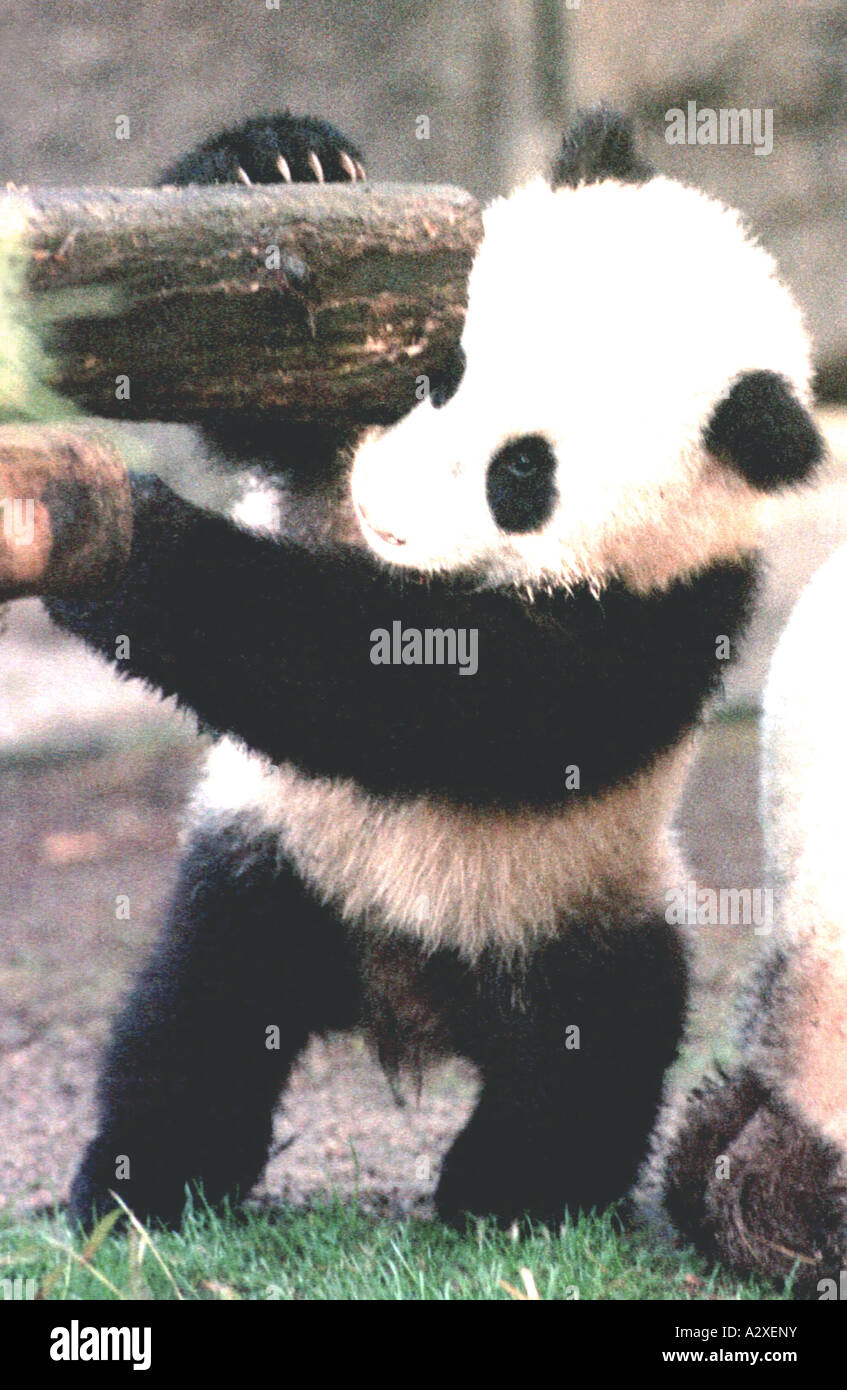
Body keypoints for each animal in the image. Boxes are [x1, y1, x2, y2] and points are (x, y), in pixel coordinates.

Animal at [36, 106, 823, 1236]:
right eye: (439, 372)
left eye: (522, 473)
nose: (389, 509)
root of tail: (403, 1005)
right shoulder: (324, 466)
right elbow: (262, 388)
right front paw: (285, 164)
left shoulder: (660, 614)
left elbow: (428, 705)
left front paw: (134, 550)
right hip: (279, 870)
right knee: (201, 1017)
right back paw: (144, 1181)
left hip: (585, 907)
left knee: (596, 1051)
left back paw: (510, 1189)